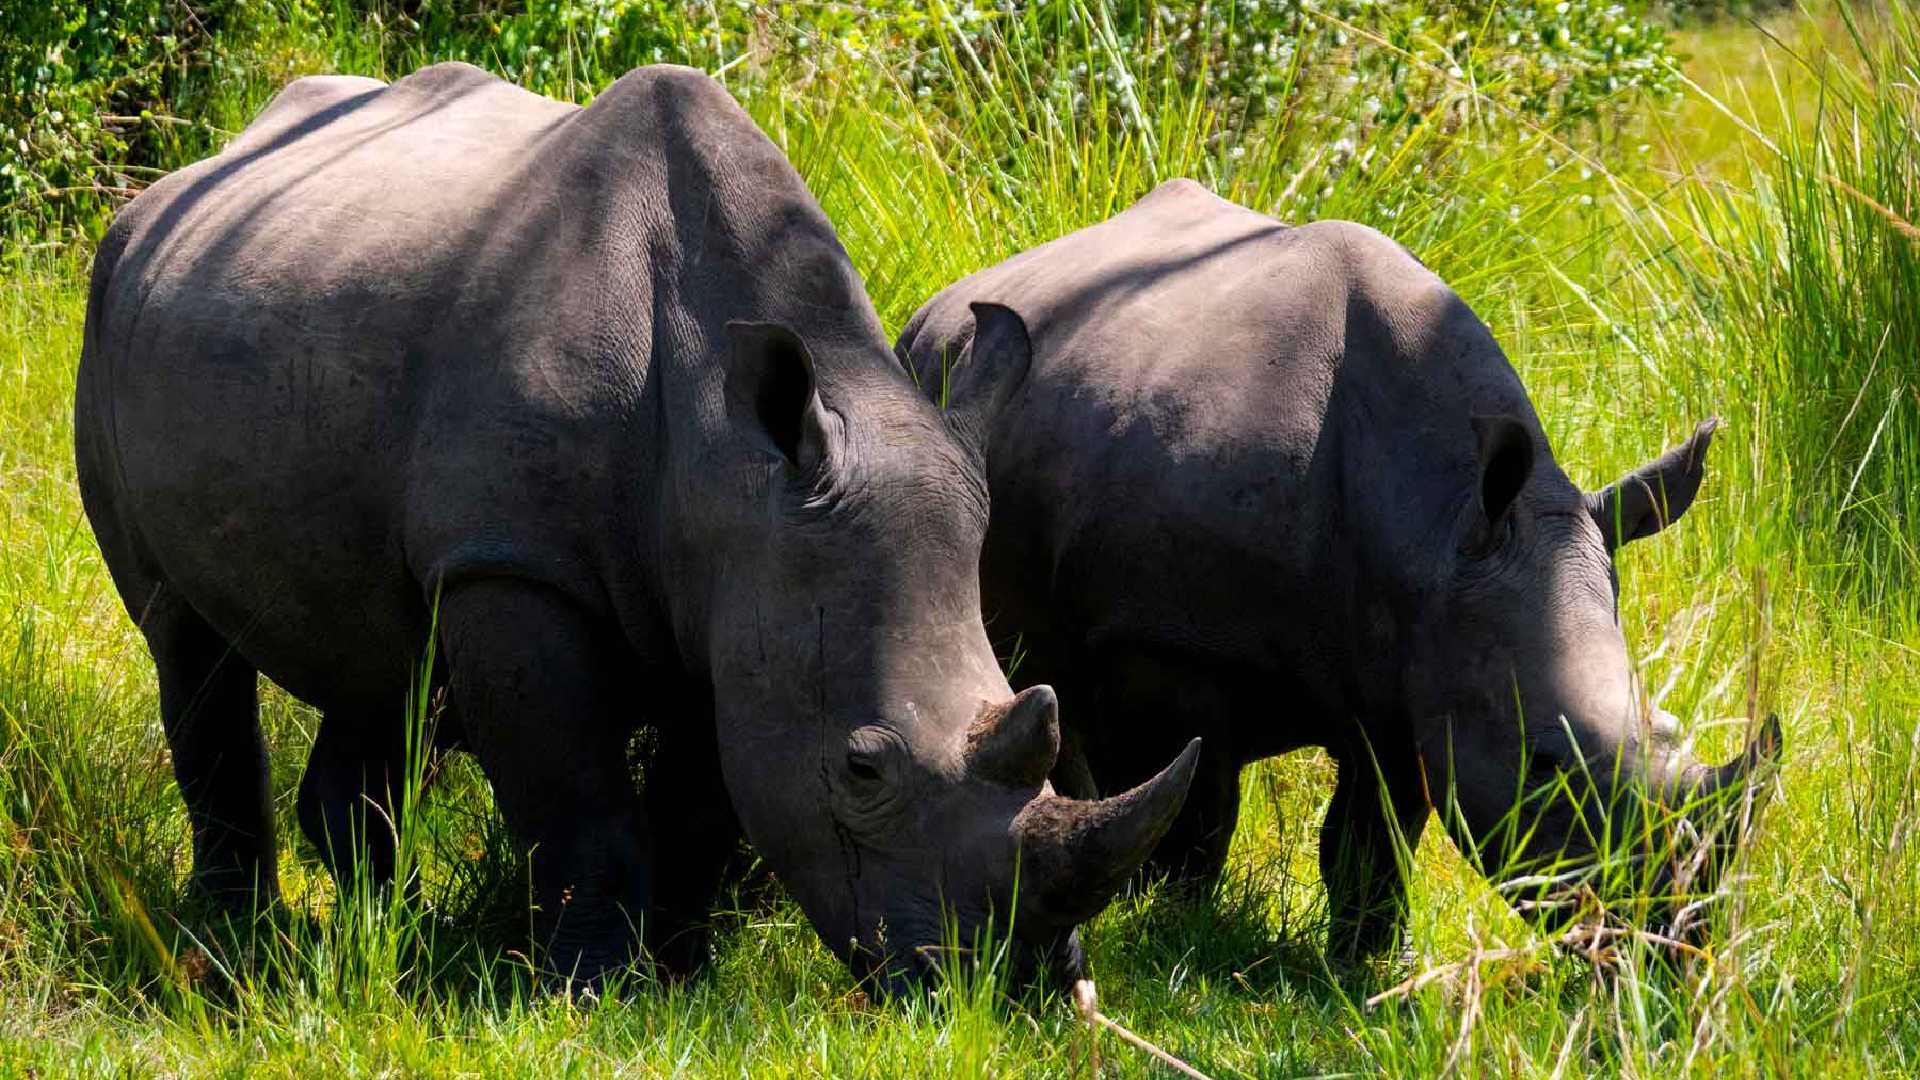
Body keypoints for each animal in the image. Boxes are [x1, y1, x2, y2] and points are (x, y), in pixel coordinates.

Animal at [73, 63, 1201, 993]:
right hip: (110, 302)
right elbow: (581, 805)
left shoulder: (744, 592)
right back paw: (235, 945)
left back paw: (379, 936)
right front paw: (594, 994)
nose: (1023, 985)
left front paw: (682, 974)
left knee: (376, 653)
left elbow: (705, 802)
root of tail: (170, 188)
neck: (728, 459)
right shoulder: (515, 567)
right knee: (188, 644)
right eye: (863, 770)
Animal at [897, 179, 1781, 962]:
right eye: (1546, 765)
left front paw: (1363, 970)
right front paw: (1169, 931)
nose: (1674, 941)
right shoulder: (1172, 650)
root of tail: (939, 306)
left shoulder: (1422, 670)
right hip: (939, 377)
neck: (1442, 524)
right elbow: (1197, 814)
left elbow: (1371, 844)